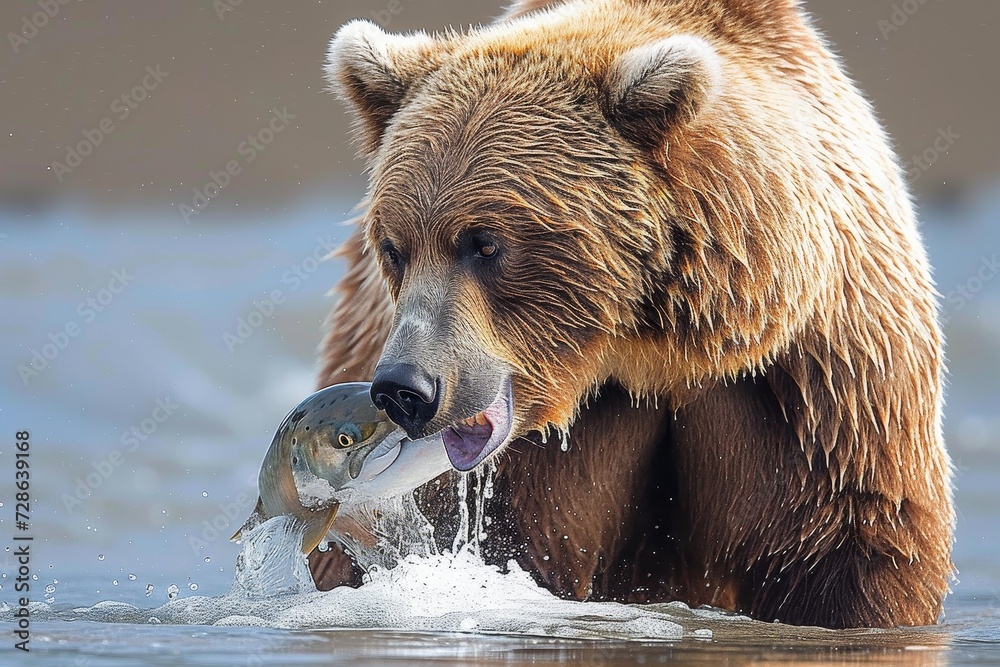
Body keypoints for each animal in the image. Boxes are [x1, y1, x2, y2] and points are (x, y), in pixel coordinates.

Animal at [309, 0, 954, 629]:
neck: (651, 348)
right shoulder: (540, 461)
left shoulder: (815, 392)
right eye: (395, 248)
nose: (405, 387)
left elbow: (851, 549)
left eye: (485, 244)